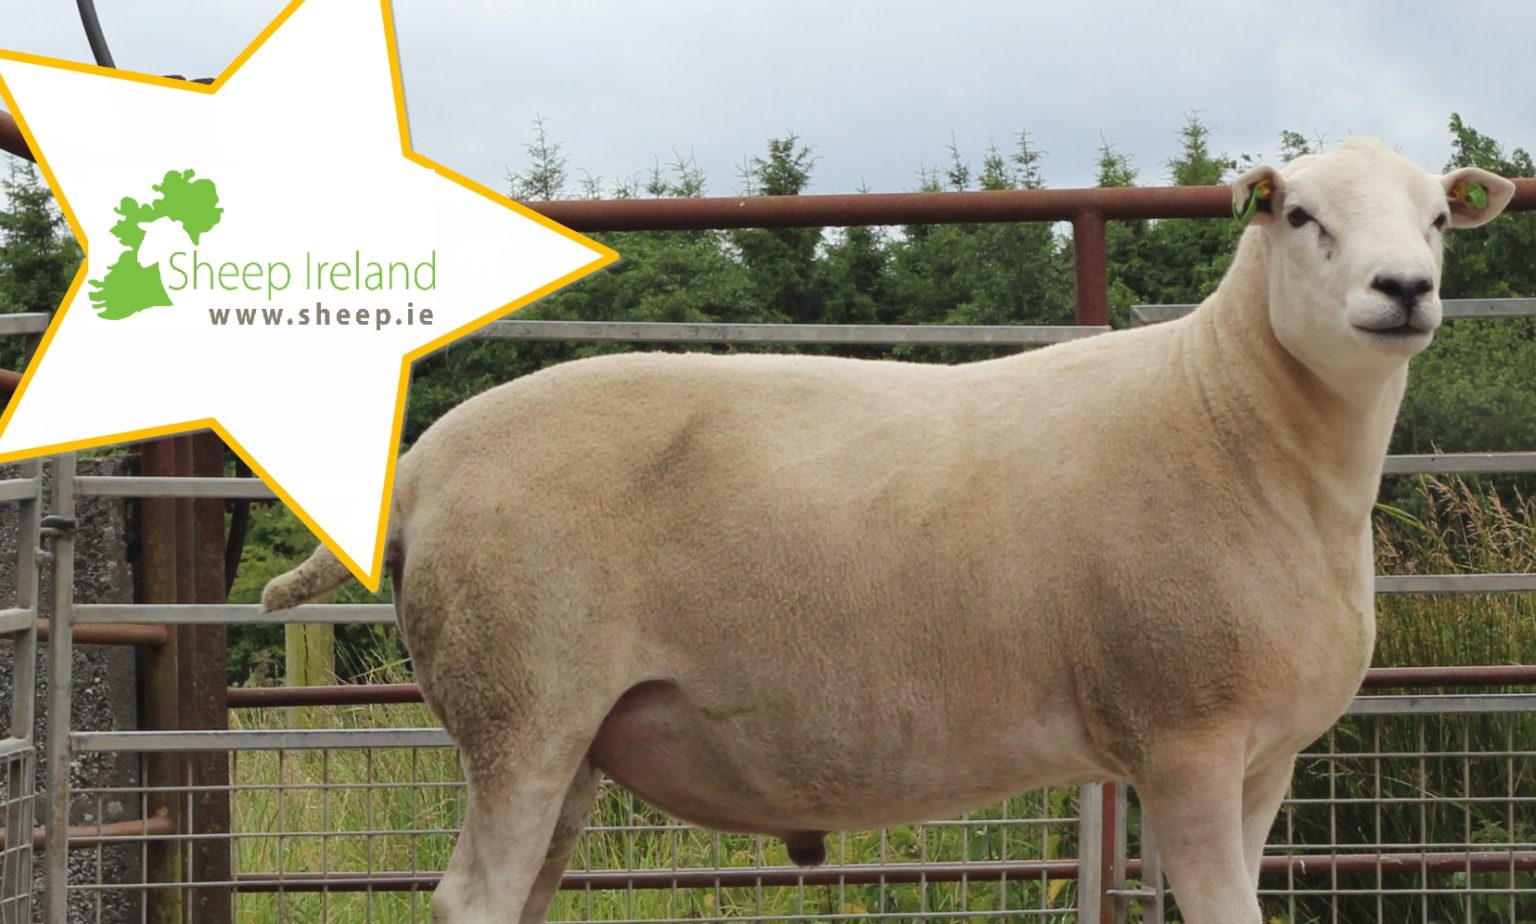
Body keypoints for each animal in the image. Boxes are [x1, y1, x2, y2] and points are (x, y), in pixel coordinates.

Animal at [261, 138, 1514, 924]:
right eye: (1301, 216)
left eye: (1440, 219)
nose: (1405, 288)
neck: (1234, 416)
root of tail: (421, 466)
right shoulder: (1184, 737)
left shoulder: (1264, 756)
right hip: (518, 703)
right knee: (469, 899)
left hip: (560, 732)